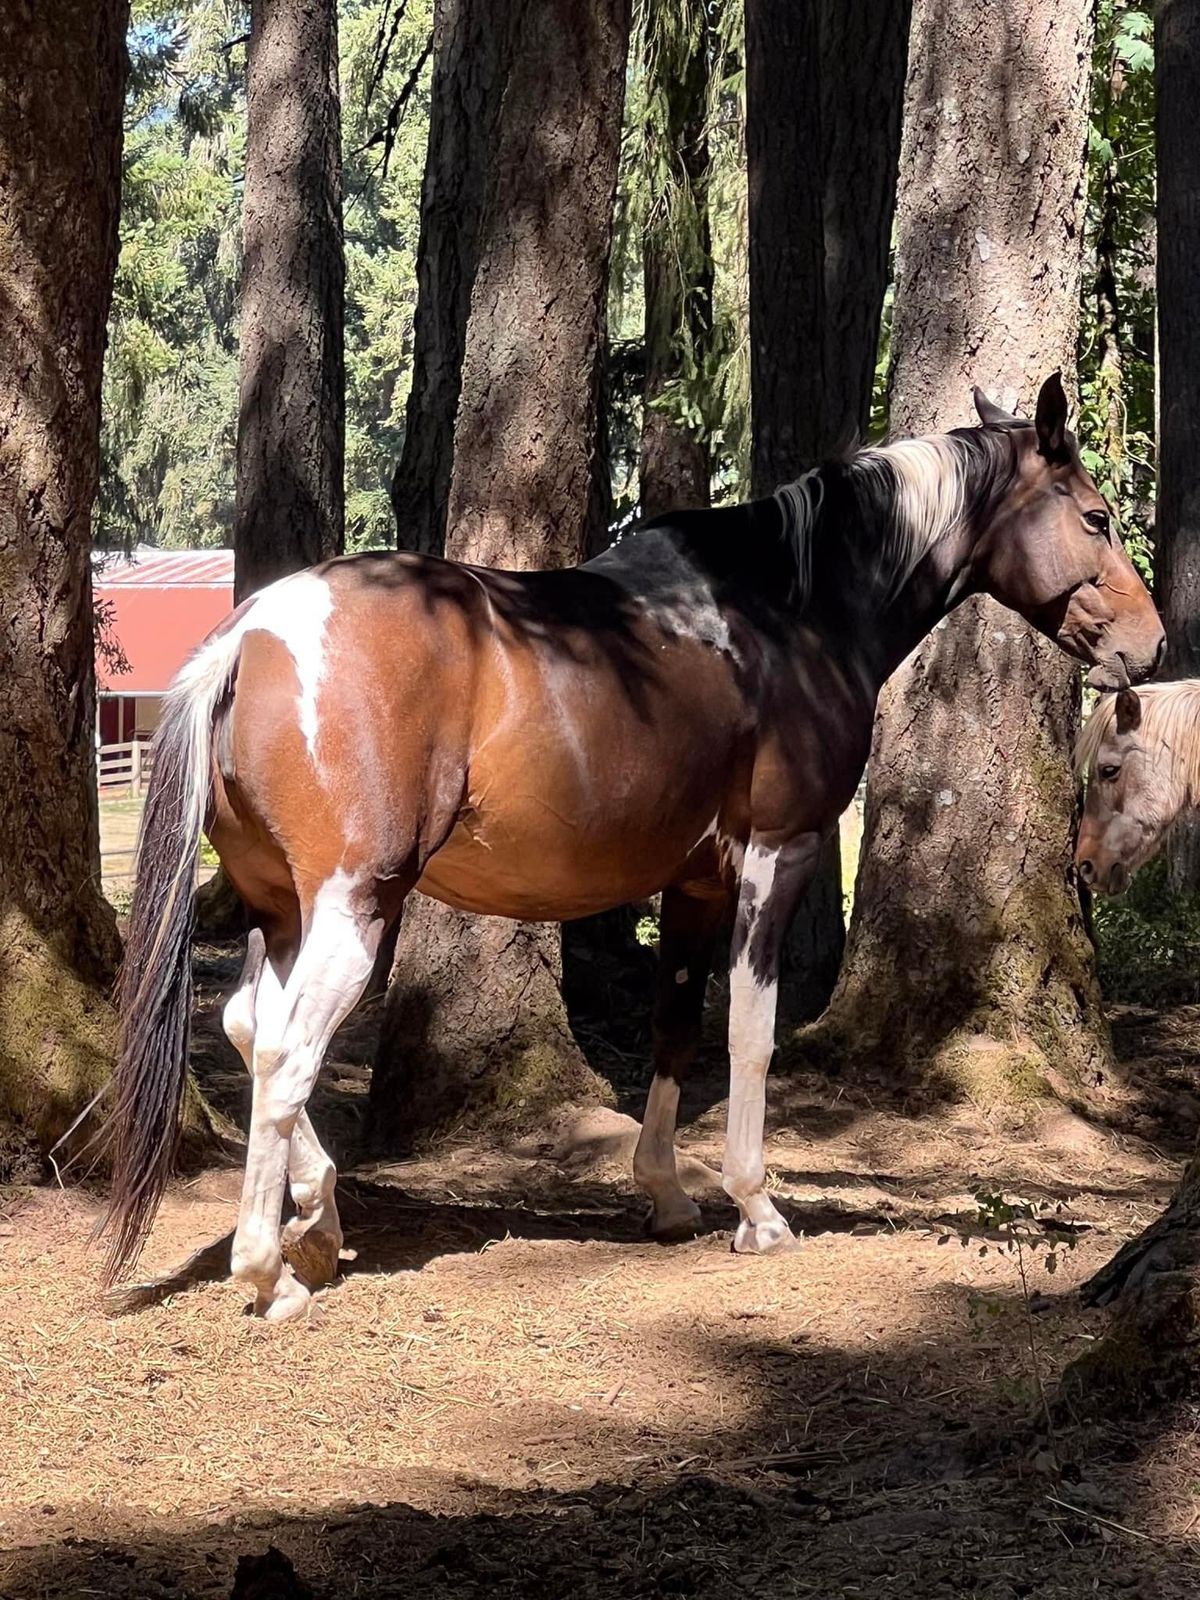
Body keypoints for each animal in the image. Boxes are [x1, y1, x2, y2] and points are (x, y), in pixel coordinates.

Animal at [99, 373, 1164, 1320]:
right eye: (1097, 516)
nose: (1150, 647)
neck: (789, 606)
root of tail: (251, 633)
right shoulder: (780, 854)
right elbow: (750, 1032)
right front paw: (756, 1208)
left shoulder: (695, 883)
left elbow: (676, 1028)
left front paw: (666, 1193)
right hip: (358, 903)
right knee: (285, 1051)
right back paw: (268, 1271)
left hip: (283, 908)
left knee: (247, 1027)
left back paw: (316, 1219)